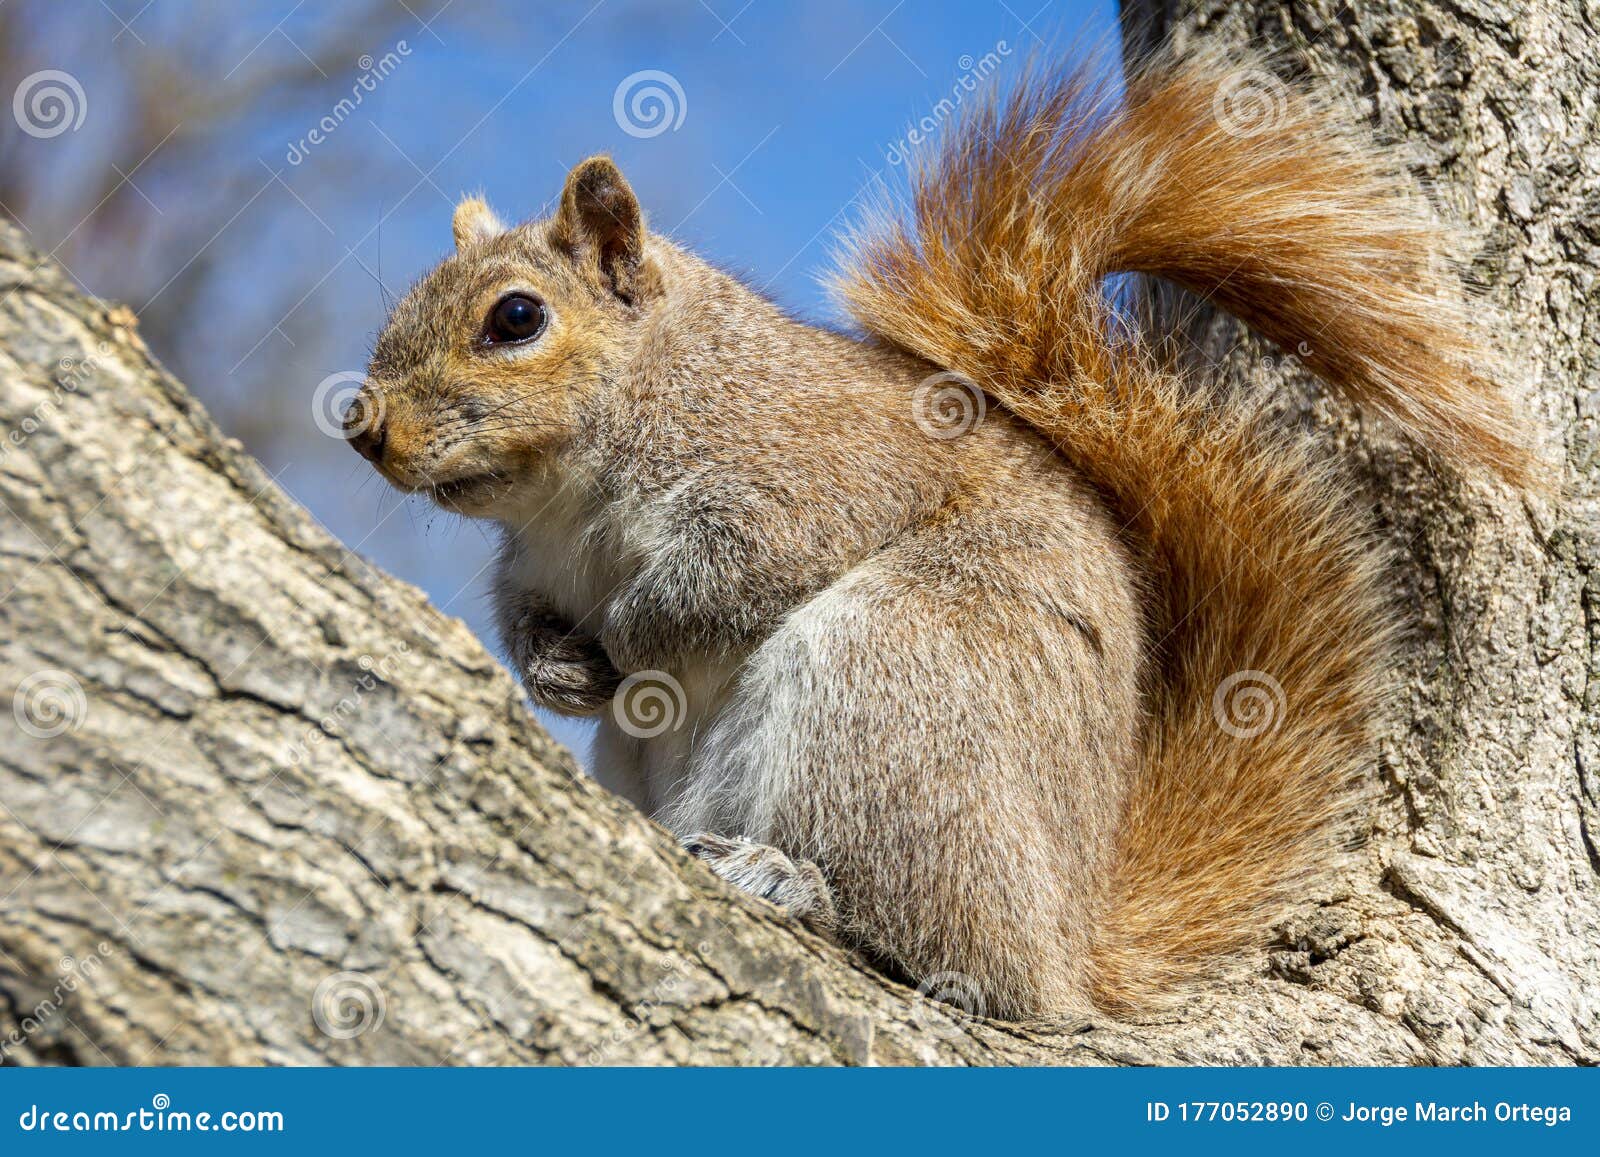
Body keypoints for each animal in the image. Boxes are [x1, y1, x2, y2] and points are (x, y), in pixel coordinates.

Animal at [349, 47, 1538, 1019]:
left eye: (516, 318)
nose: (364, 426)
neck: (570, 498)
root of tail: (1072, 938)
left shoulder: (804, 479)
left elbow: (722, 584)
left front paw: (629, 641)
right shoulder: (532, 563)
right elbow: (520, 617)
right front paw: (558, 670)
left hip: (899, 680)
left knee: (967, 959)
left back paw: (797, 883)